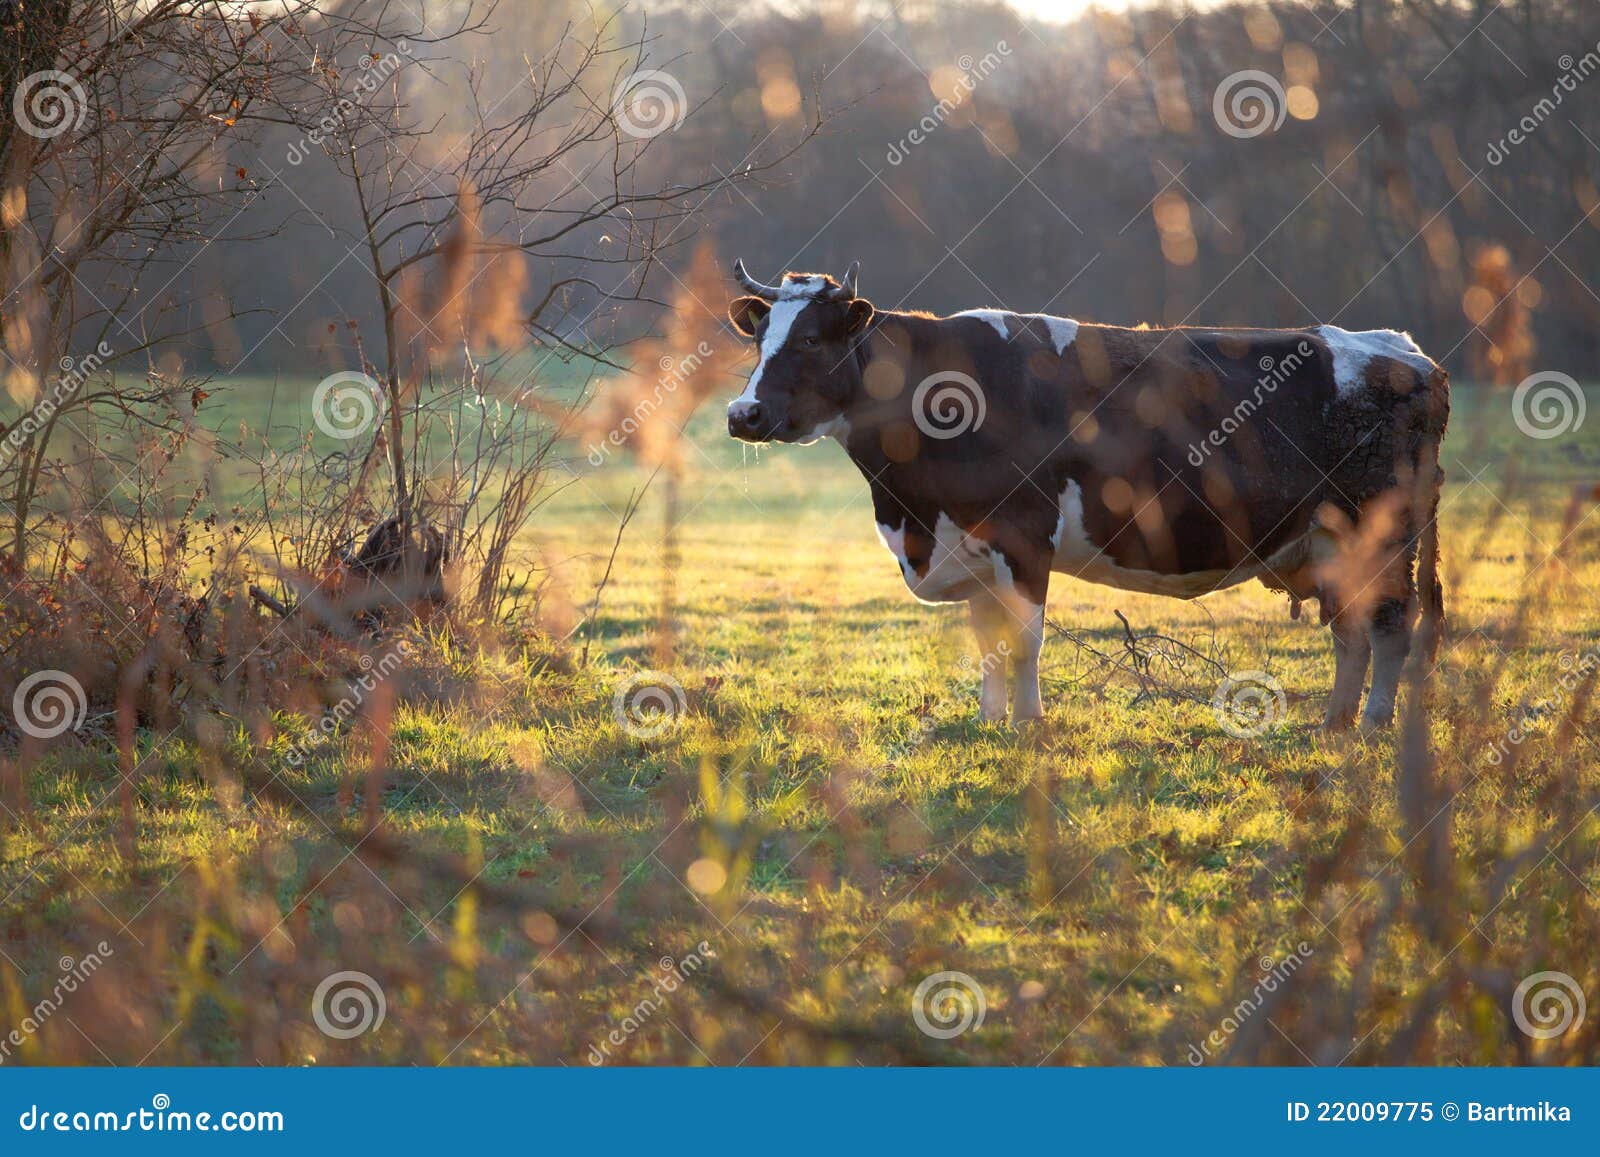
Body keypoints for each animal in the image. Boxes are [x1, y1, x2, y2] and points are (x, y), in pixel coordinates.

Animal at [725, 260, 1448, 733]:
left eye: (811, 339)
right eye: (758, 339)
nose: (743, 413)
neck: (912, 509)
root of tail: (1406, 352)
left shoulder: (1023, 535)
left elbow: (1024, 641)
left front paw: (1030, 725)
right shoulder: (971, 546)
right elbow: (988, 641)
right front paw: (989, 722)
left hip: (1384, 531)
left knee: (1390, 623)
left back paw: (1374, 723)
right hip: (1330, 541)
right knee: (1351, 628)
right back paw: (1335, 721)